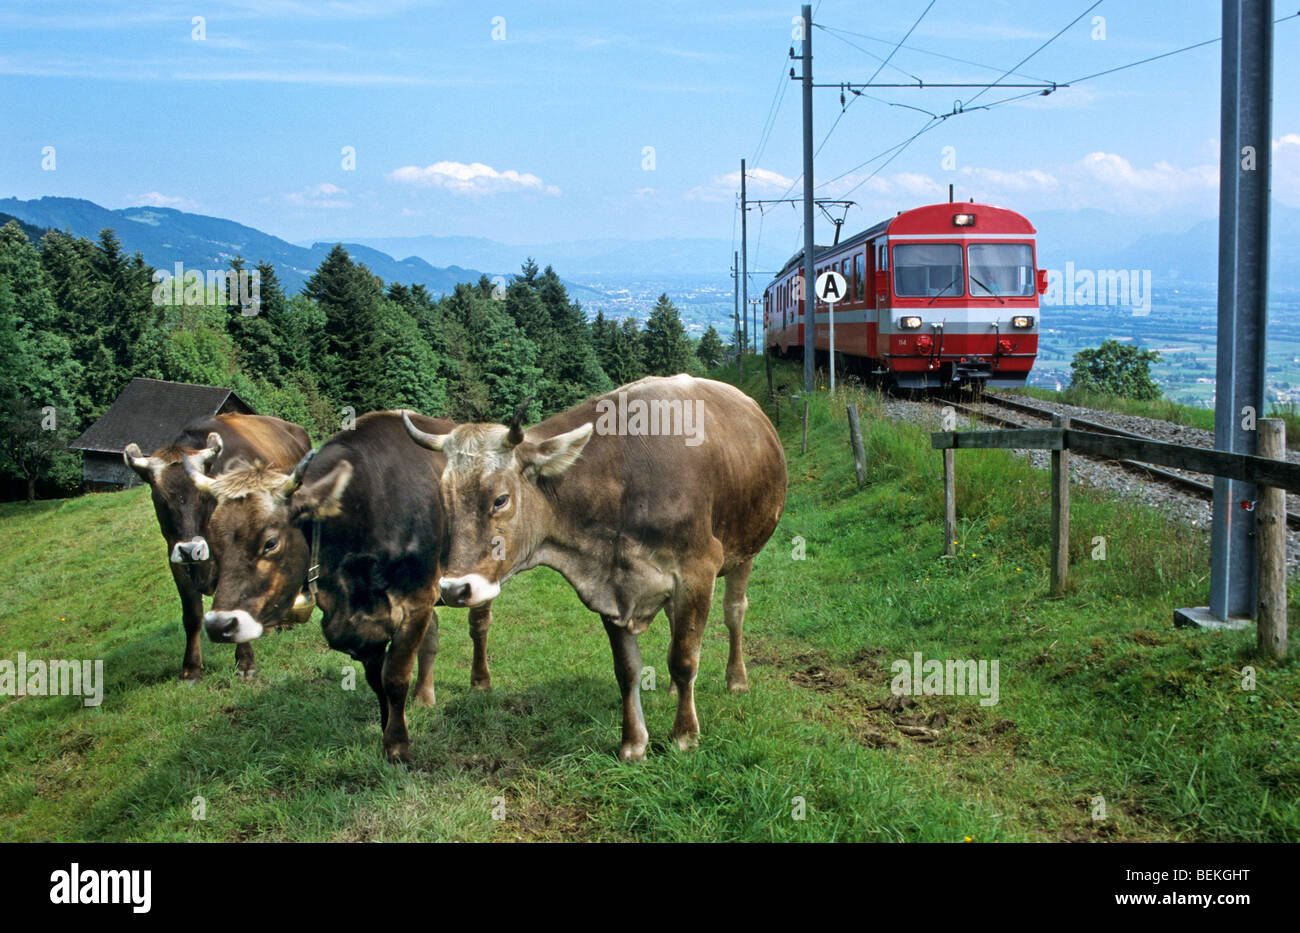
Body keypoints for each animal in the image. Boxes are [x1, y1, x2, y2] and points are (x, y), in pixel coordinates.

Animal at [124, 413, 312, 681]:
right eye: (159, 499)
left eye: (203, 497)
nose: (191, 549)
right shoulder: (175, 559)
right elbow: (192, 614)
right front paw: (191, 669)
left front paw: (245, 662)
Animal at [191, 411, 495, 764]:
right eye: (213, 541)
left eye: (270, 542)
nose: (219, 625)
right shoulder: (360, 625)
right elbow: (377, 680)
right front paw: (388, 727)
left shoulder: (416, 601)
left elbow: (394, 677)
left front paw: (398, 746)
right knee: (431, 637)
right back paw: (424, 695)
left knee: (479, 626)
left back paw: (480, 682)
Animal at [402, 374, 787, 762]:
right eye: (444, 498)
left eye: (500, 499)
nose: (453, 589)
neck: (623, 486)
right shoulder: (611, 587)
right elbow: (628, 670)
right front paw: (633, 743)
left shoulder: (697, 572)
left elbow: (684, 659)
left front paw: (685, 736)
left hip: (745, 551)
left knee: (734, 612)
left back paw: (736, 680)